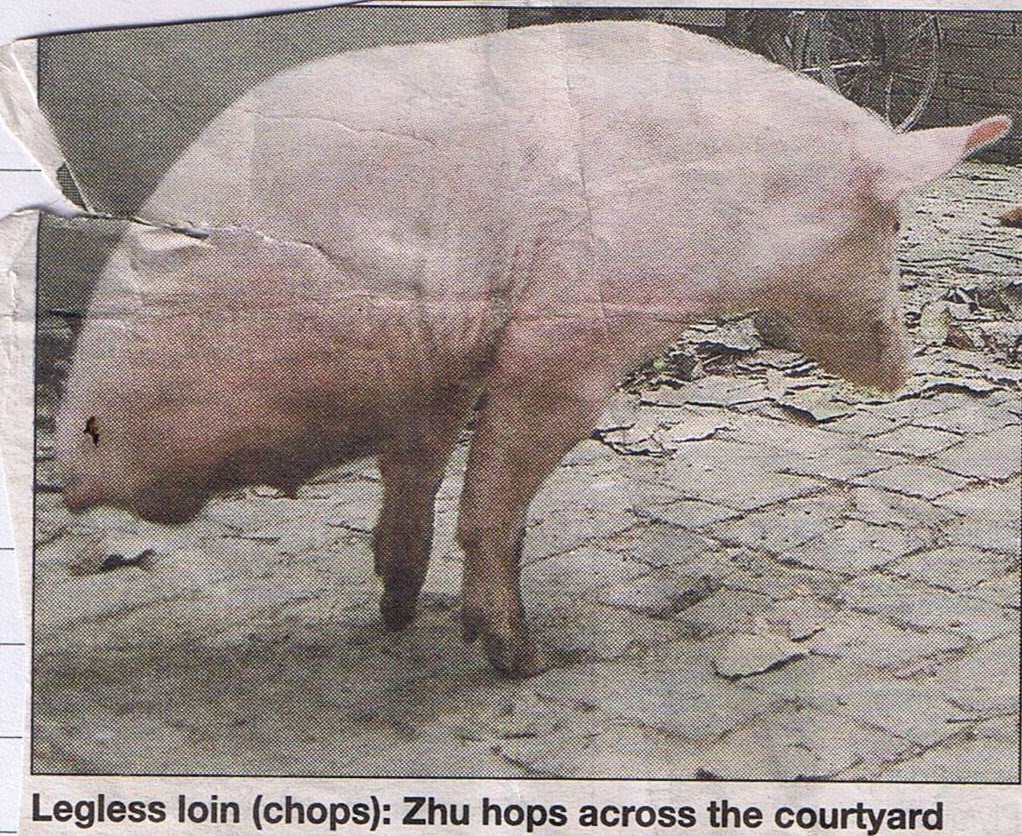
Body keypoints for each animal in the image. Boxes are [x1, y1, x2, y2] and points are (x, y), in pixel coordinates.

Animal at [55, 21, 1011, 677]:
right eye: (895, 225)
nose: (906, 367)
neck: (740, 207)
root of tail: (72, 457)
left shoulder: (456, 359)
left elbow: (433, 481)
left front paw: (411, 615)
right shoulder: (571, 337)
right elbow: (497, 504)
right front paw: (521, 662)